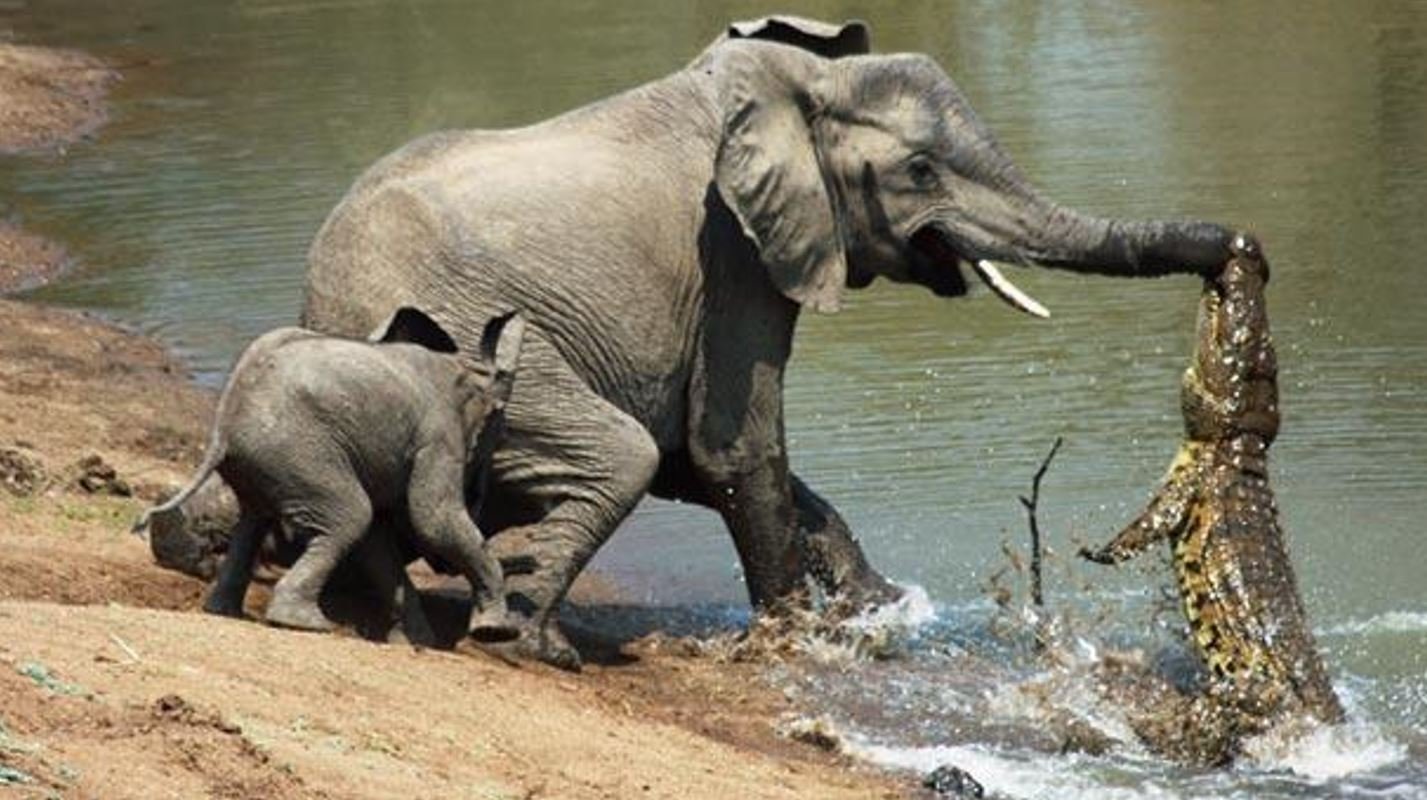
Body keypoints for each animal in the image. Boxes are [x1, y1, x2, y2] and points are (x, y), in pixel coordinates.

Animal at [135, 306, 526, 644]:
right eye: (499, 433)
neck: (466, 368)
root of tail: (223, 425)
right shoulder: (438, 439)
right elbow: (431, 520)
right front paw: (496, 632)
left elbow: (379, 543)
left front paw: (418, 642)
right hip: (299, 451)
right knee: (350, 516)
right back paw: (304, 623)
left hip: (267, 460)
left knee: (255, 521)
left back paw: (223, 611)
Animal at [299, 16, 1237, 670]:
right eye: (920, 172)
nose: (1239, 252)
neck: (794, 86)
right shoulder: (734, 253)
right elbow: (730, 447)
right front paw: (798, 640)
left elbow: (702, 458)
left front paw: (879, 609)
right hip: (465, 346)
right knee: (619, 455)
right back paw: (534, 644)